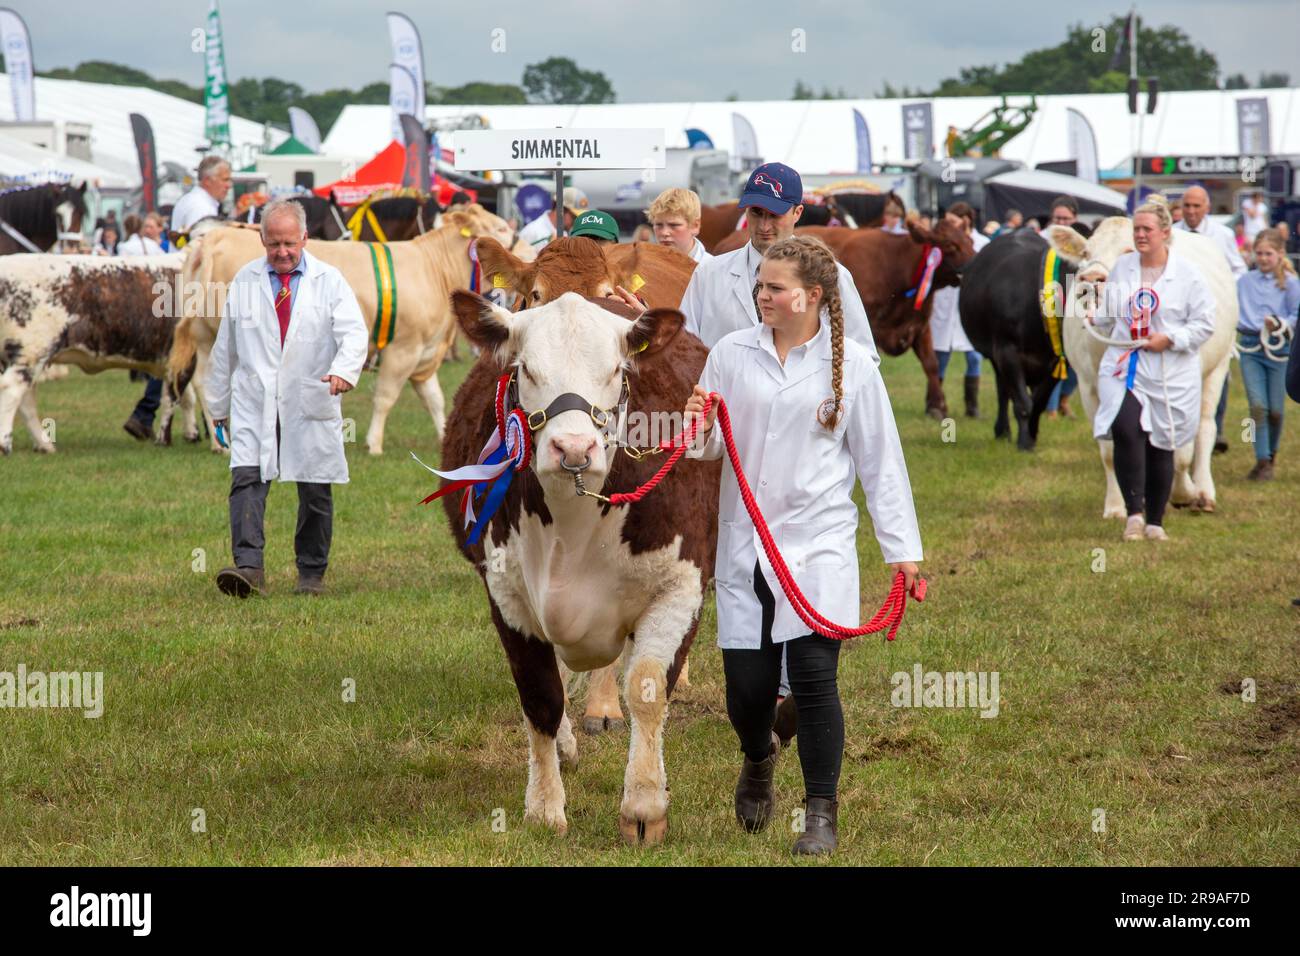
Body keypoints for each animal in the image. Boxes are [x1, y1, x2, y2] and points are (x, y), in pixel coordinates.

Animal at [0, 252, 198, 454]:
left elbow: (186, 397)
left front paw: (192, 434)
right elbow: (172, 398)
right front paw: (164, 440)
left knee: (26, 400)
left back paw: (44, 445)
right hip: (32, 351)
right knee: (12, 390)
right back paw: (5, 444)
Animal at [163, 205, 532, 455]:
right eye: (501, 227)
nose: (529, 250)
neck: (433, 268)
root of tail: (213, 237)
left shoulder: (425, 355)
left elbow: (435, 399)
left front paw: (445, 438)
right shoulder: (403, 348)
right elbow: (385, 397)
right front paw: (374, 444)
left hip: (205, 336)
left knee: (204, 381)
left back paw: (219, 441)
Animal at [441, 290, 720, 842]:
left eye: (615, 369)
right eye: (525, 369)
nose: (573, 448)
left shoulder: (682, 583)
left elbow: (648, 688)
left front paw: (644, 806)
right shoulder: (507, 594)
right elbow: (540, 695)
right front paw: (544, 807)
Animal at [801, 220, 976, 417]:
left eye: (970, 240)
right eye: (950, 245)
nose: (977, 264)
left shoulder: (920, 325)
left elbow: (931, 363)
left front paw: (937, 405)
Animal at [959, 229, 1075, 451]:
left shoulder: (1057, 360)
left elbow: (1039, 402)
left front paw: (1032, 435)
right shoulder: (1006, 351)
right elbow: (1022, 403)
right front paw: (1024, 442)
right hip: (995, 355)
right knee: (1003, 391)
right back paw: (1002, 430)